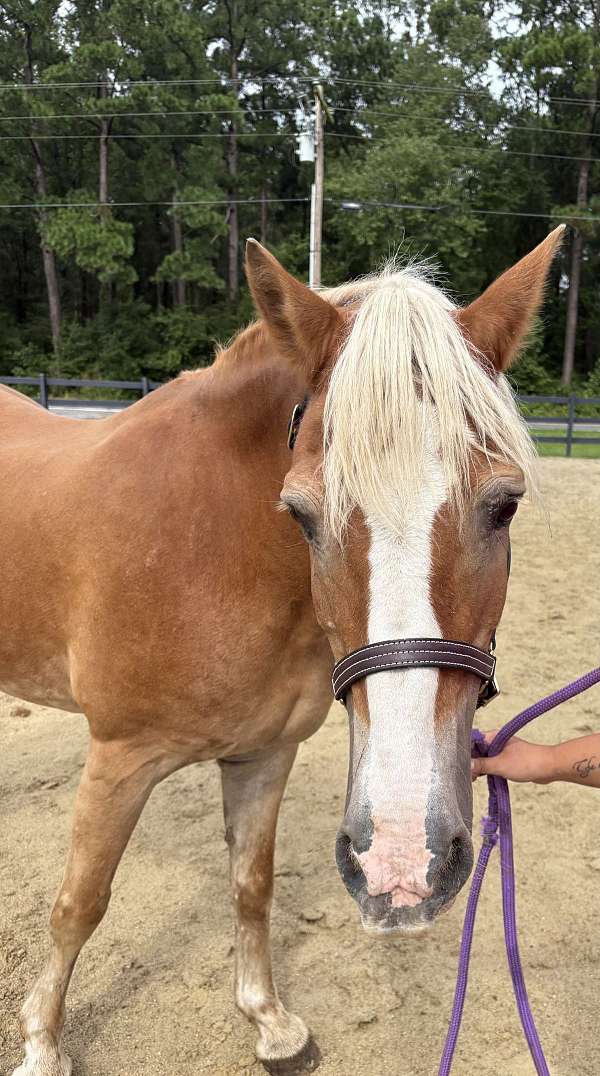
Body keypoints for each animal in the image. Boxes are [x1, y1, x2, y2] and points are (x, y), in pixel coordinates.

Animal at [1, 225, 563, 1076]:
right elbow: (79, 904)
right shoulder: (120, 759)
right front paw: (41, 1043)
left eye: (505, 504)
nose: (404, 863)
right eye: (299, 512)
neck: (207, 546)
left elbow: (252, 885)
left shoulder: (264, 753)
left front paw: (268, 1020)